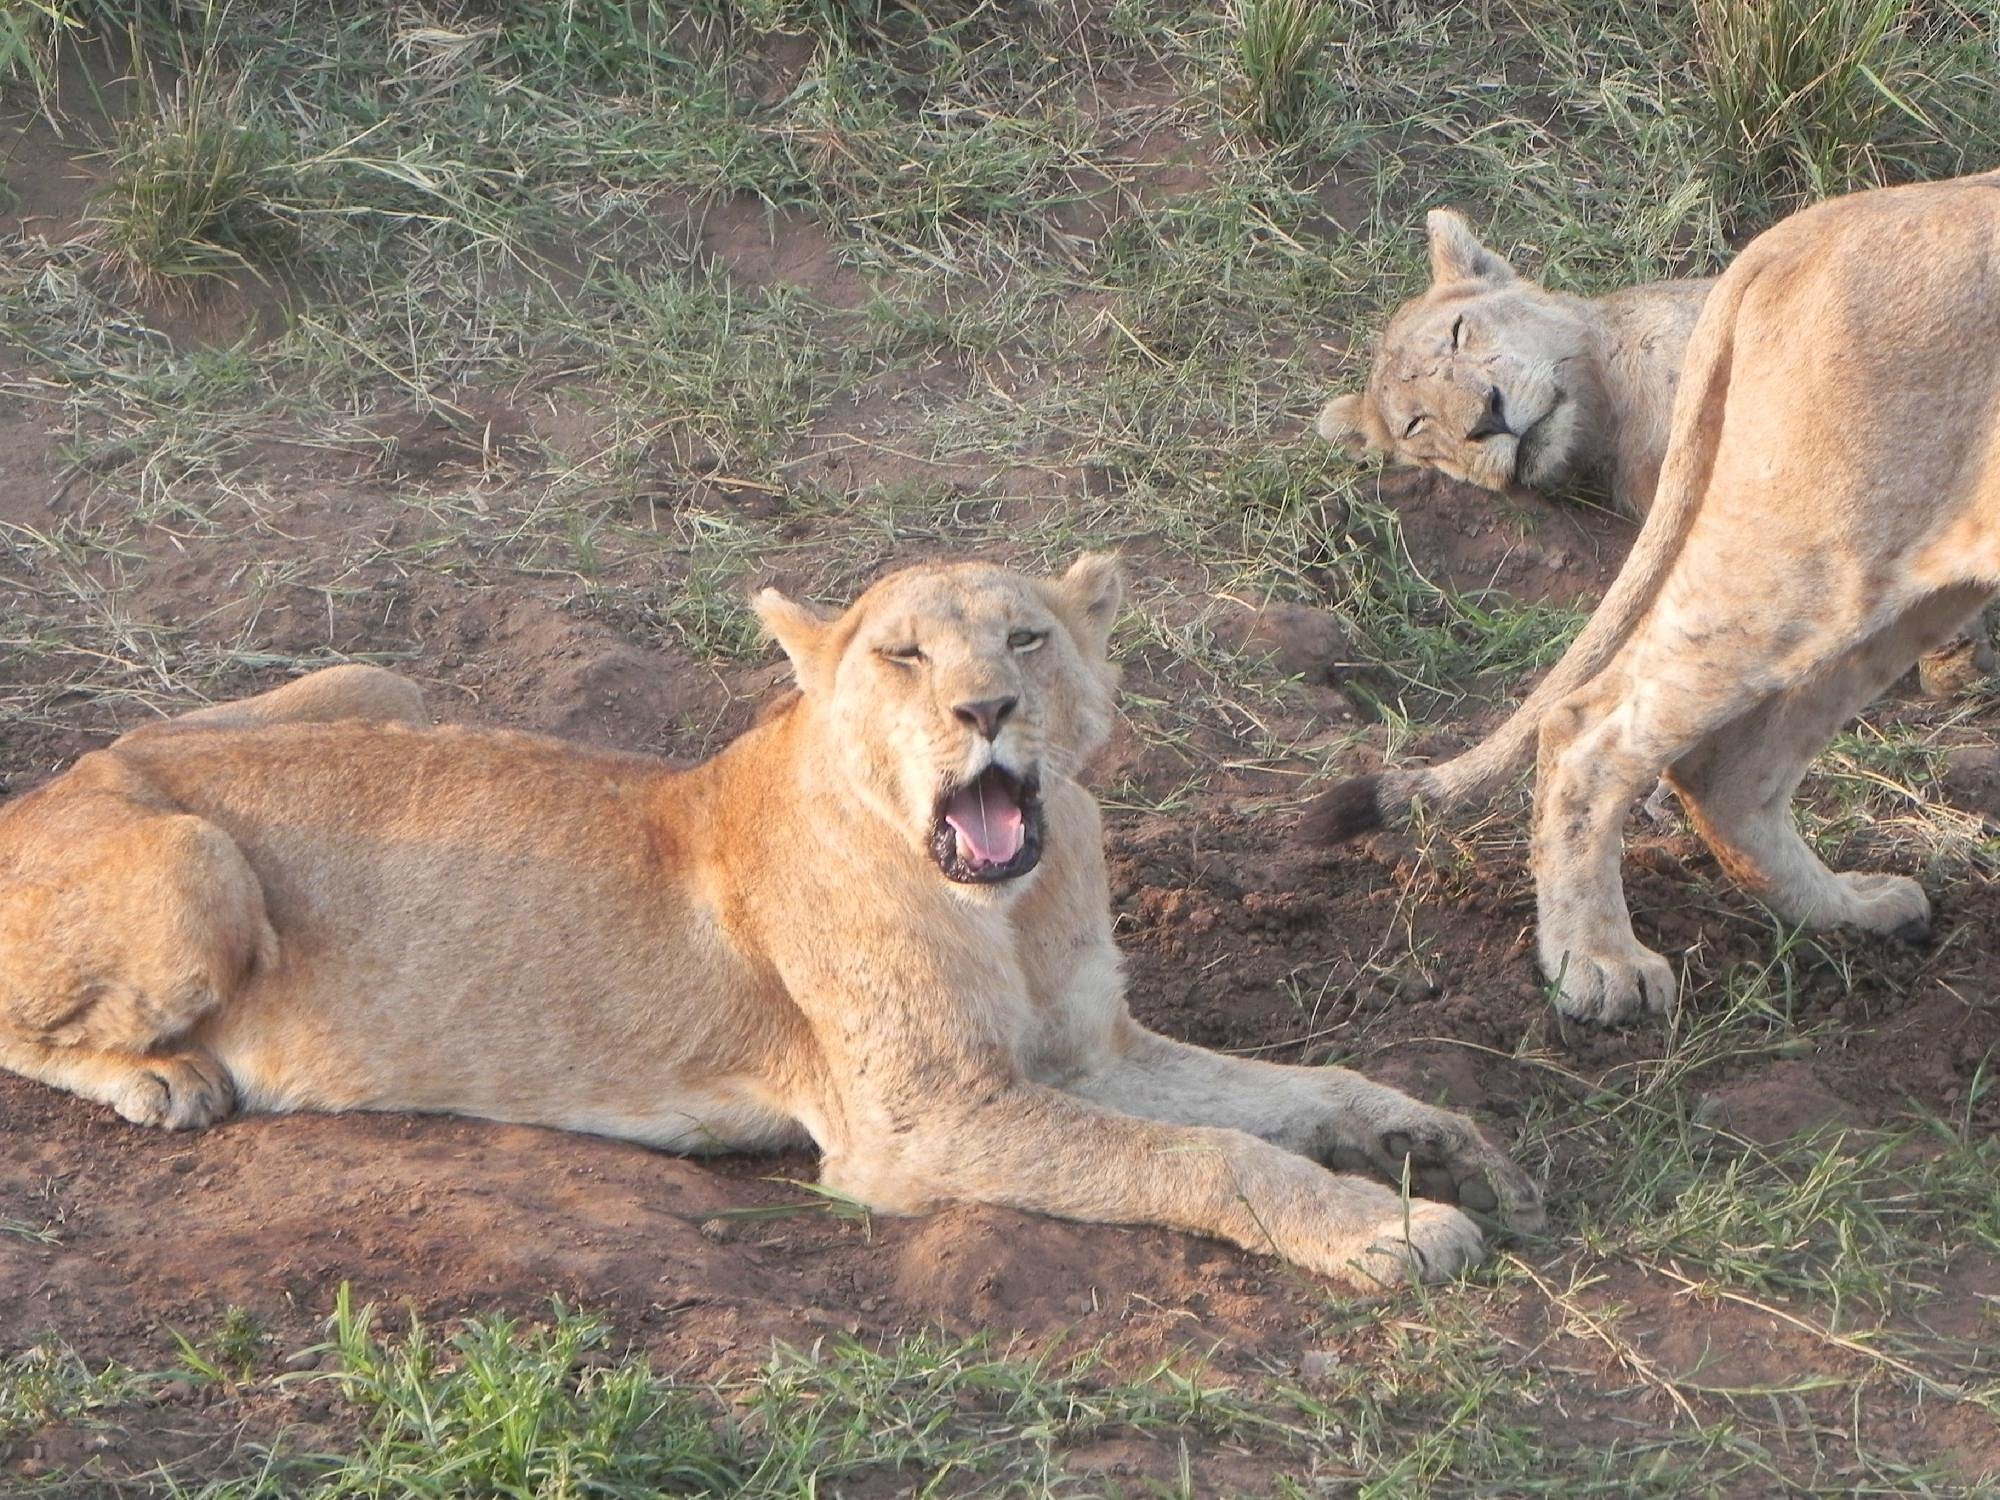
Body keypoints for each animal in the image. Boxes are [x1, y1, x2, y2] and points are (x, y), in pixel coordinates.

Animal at [0, 558, 1543, 1290]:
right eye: (904, 655)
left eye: (1026, 638)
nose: (985, 708)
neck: (1014, 906)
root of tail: (57, 777)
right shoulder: (917, 1127)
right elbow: (1208, 1155)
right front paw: (1393, 1232)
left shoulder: (1087, 1055)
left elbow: (1290, 1089)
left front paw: (1436, 1142)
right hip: (198, 860)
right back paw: (164, 1082)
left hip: (381, 681)